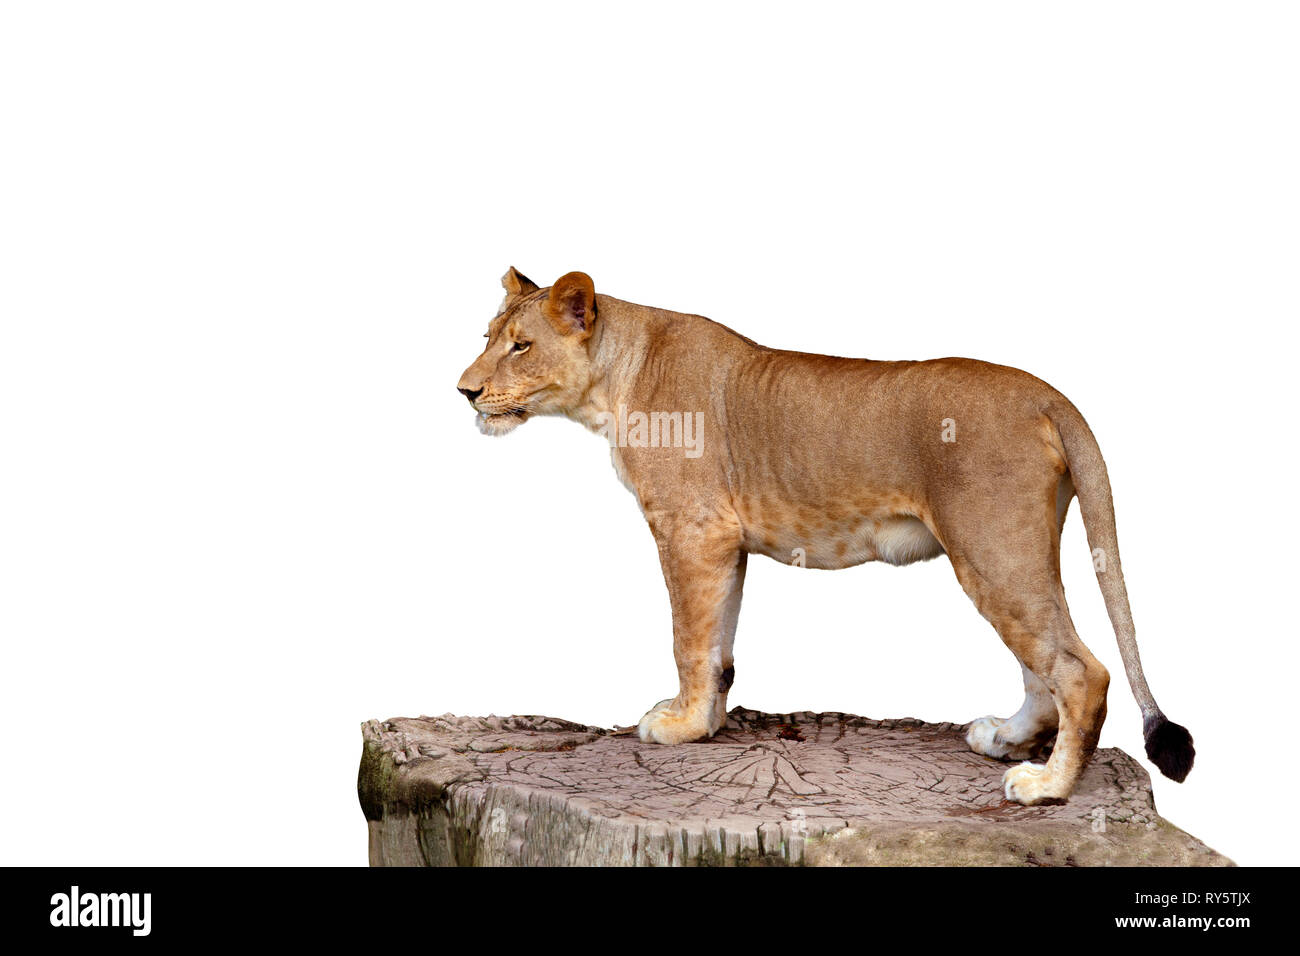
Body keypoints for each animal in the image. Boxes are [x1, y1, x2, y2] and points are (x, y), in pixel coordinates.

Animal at [456, 267, 1195, 805]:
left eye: (521, 345)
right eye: (489, 335)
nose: (464, 391)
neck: (614, 380)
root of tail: (1049, 393)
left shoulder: (691, 531)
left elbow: (689, 640)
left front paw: (677, 726)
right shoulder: (726, 542)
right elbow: (719, 644)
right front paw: (707, 723)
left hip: (992, 549)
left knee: (1080, 670)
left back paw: (1046, 787)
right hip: (1011, 554)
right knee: (1044, 664)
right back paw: (1004, 741)